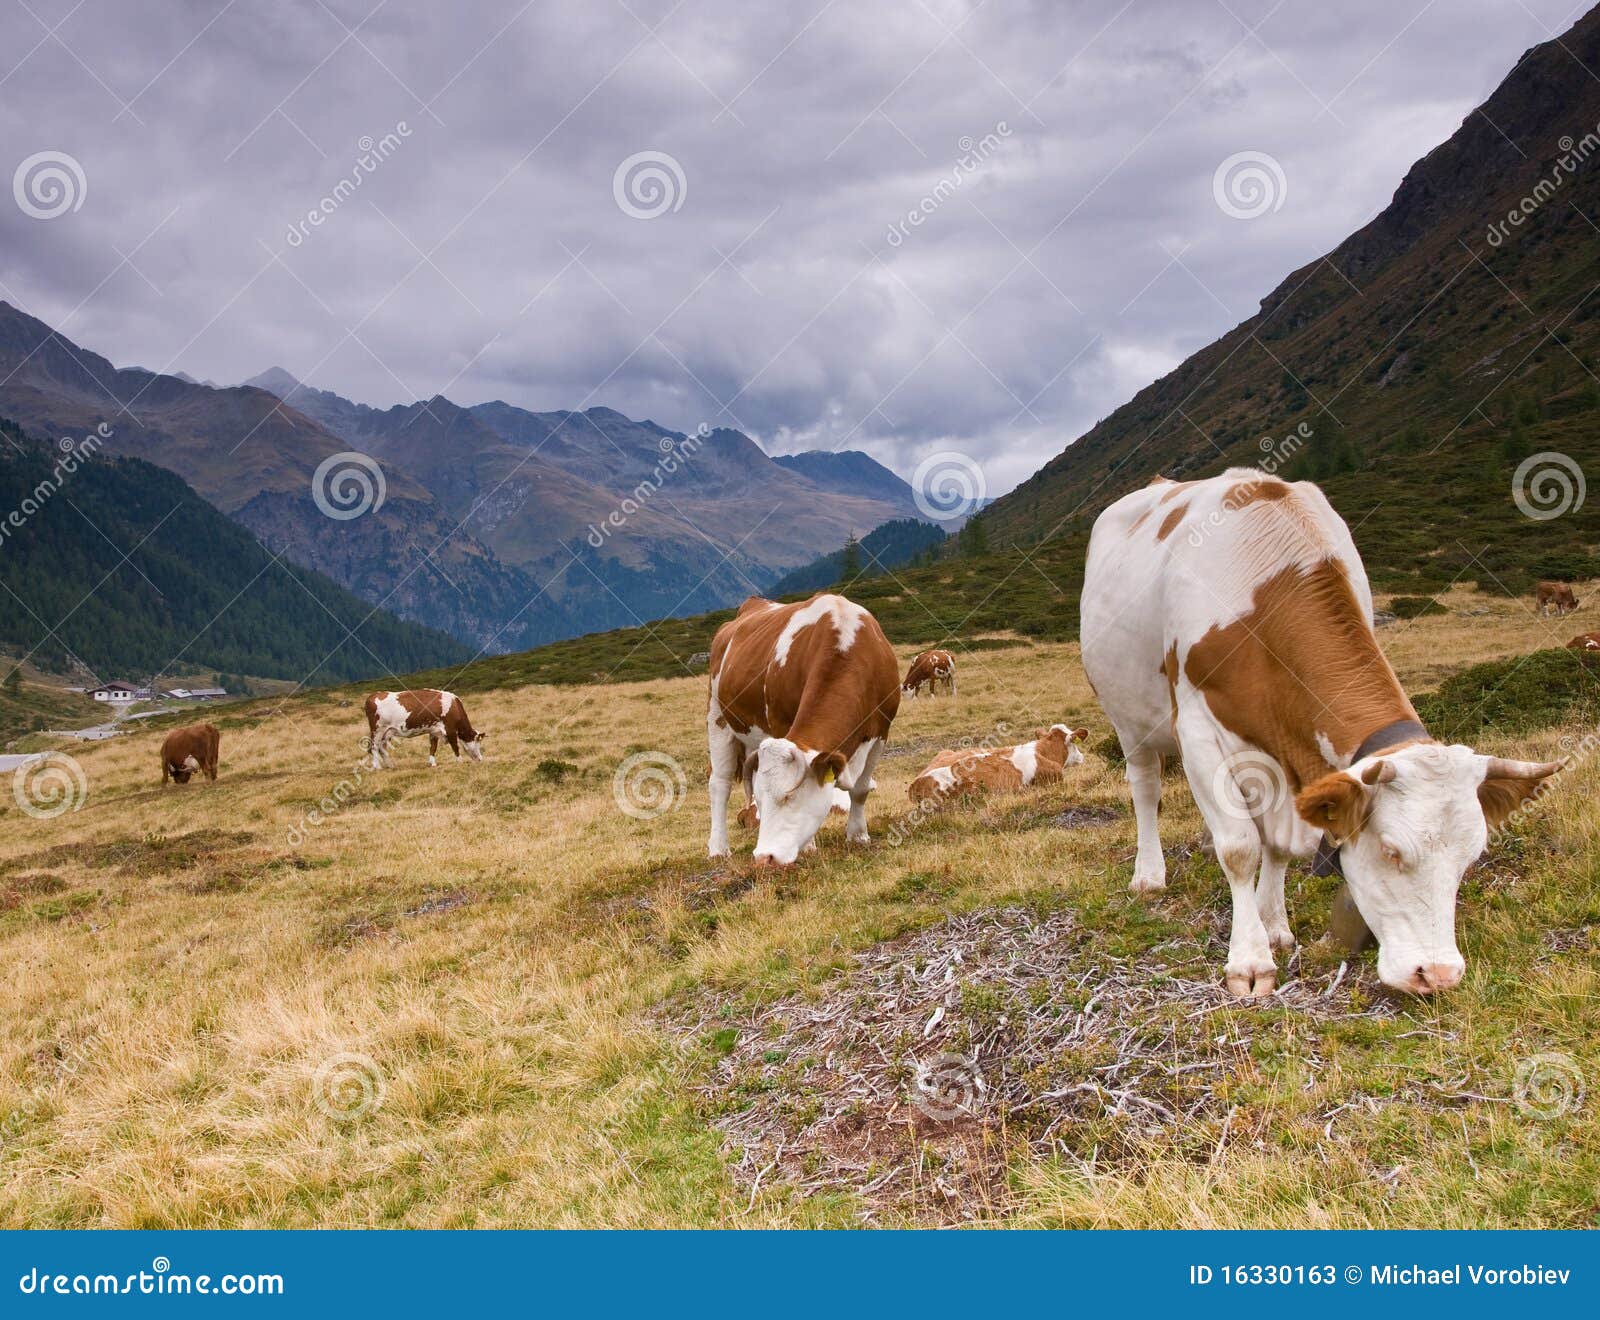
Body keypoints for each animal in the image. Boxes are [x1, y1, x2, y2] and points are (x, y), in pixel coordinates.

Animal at [707, 592, 900, 864]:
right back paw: (718, 848)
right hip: (717, 717)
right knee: (720, 784)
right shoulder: (780, 723)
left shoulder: (881, 731)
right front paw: (809, 846)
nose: (764, 857)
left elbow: (861, 789)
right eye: (762, 799)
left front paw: (858, 835)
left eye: (790, 795)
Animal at [1081, 469, 1562, 998]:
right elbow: (1240, 847)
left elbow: (1277, 845)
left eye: (1471, 856)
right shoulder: (1198, 729)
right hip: (1129, 717)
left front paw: (1274, 926)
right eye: (1391, 850)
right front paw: (1250, 960)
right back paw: (1149, 876)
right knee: (1146, 790)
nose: (1438, 974)